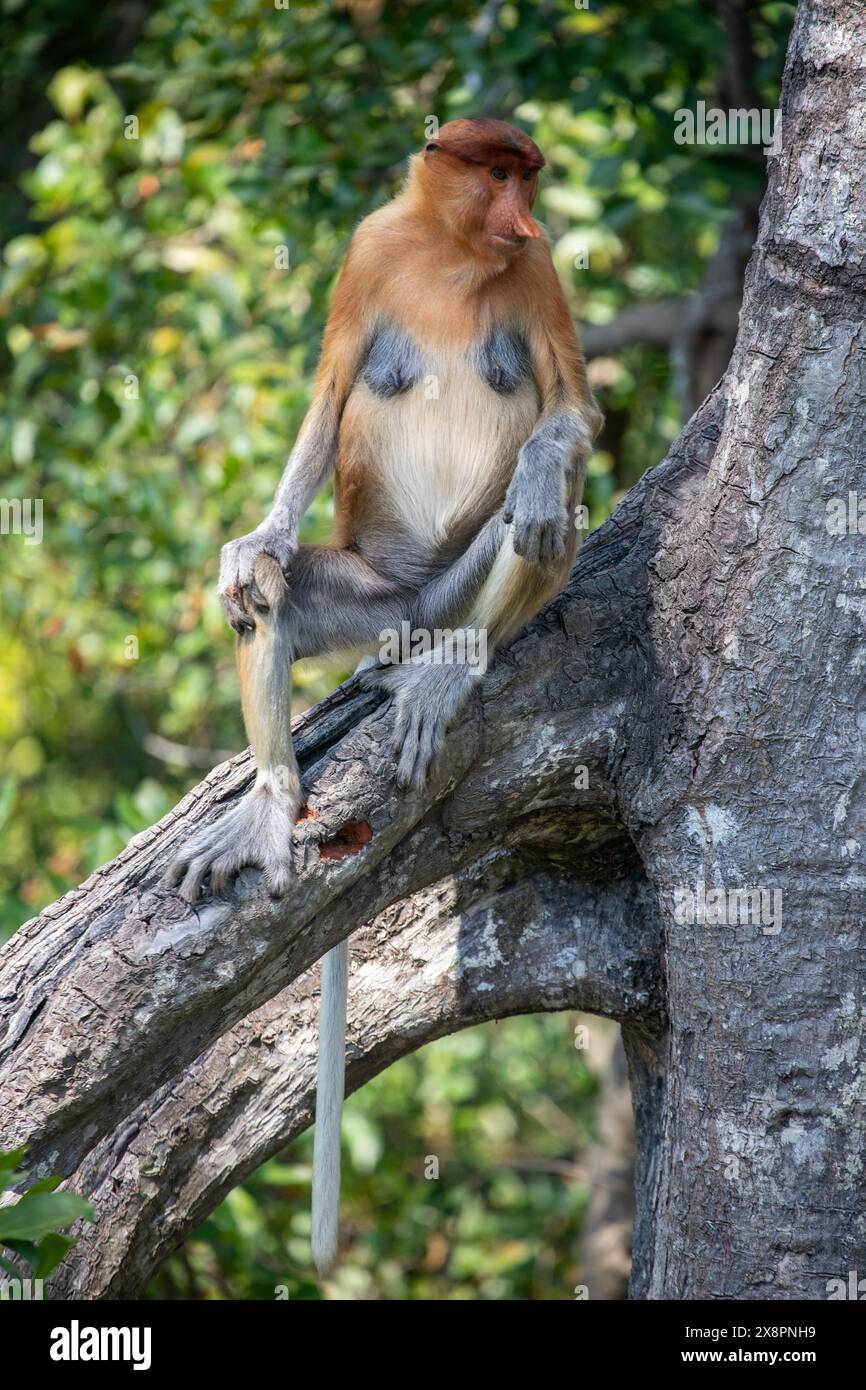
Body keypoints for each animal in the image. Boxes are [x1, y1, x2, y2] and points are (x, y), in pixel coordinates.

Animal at [167, 118, 601, 1277]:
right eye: (494, 173)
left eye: (528, 180)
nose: (520, 212)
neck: (454, 253)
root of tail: (412, 607)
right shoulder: (370, 256)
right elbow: (327, 401)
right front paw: (251, 541)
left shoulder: (539, 271)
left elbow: (569, 411)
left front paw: (543, 460)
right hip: (367, 590)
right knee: (274, 595)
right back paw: (273, 798)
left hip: (452, 591)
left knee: (548, 515)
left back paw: (449, 668)